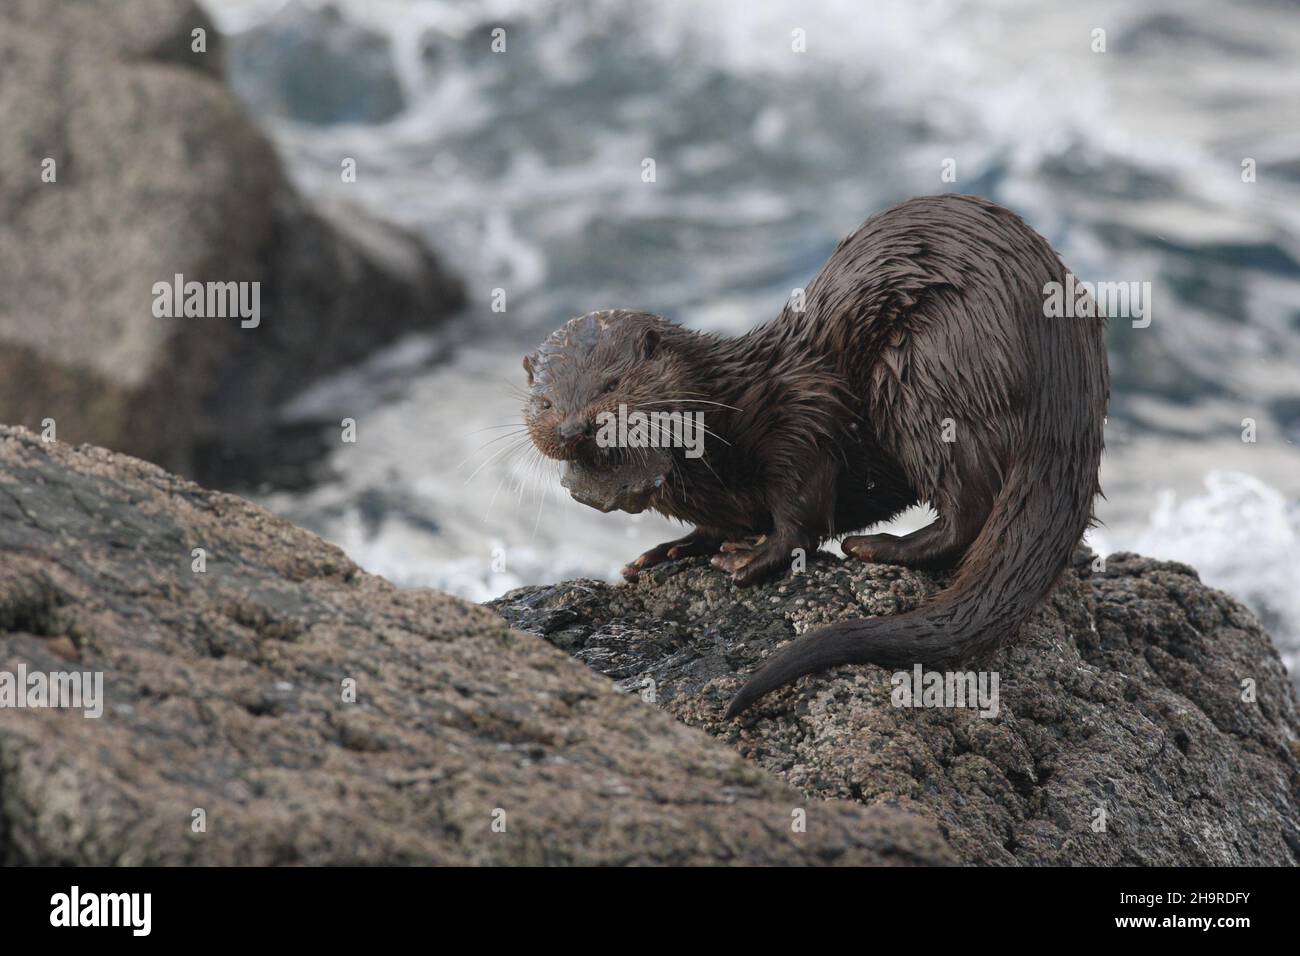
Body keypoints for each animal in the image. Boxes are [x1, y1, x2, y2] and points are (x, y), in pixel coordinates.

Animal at [521, 194, 1109, 717]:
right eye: (546, 401)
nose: (573, 427)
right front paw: (665, 552)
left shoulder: (799, 413)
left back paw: (877, 546)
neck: (728, 406)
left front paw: (751, 557)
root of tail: (1070, 381)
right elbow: (716, 526)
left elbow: (801, 513)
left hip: (928, 367)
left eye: (610, 384)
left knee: (968, 506)